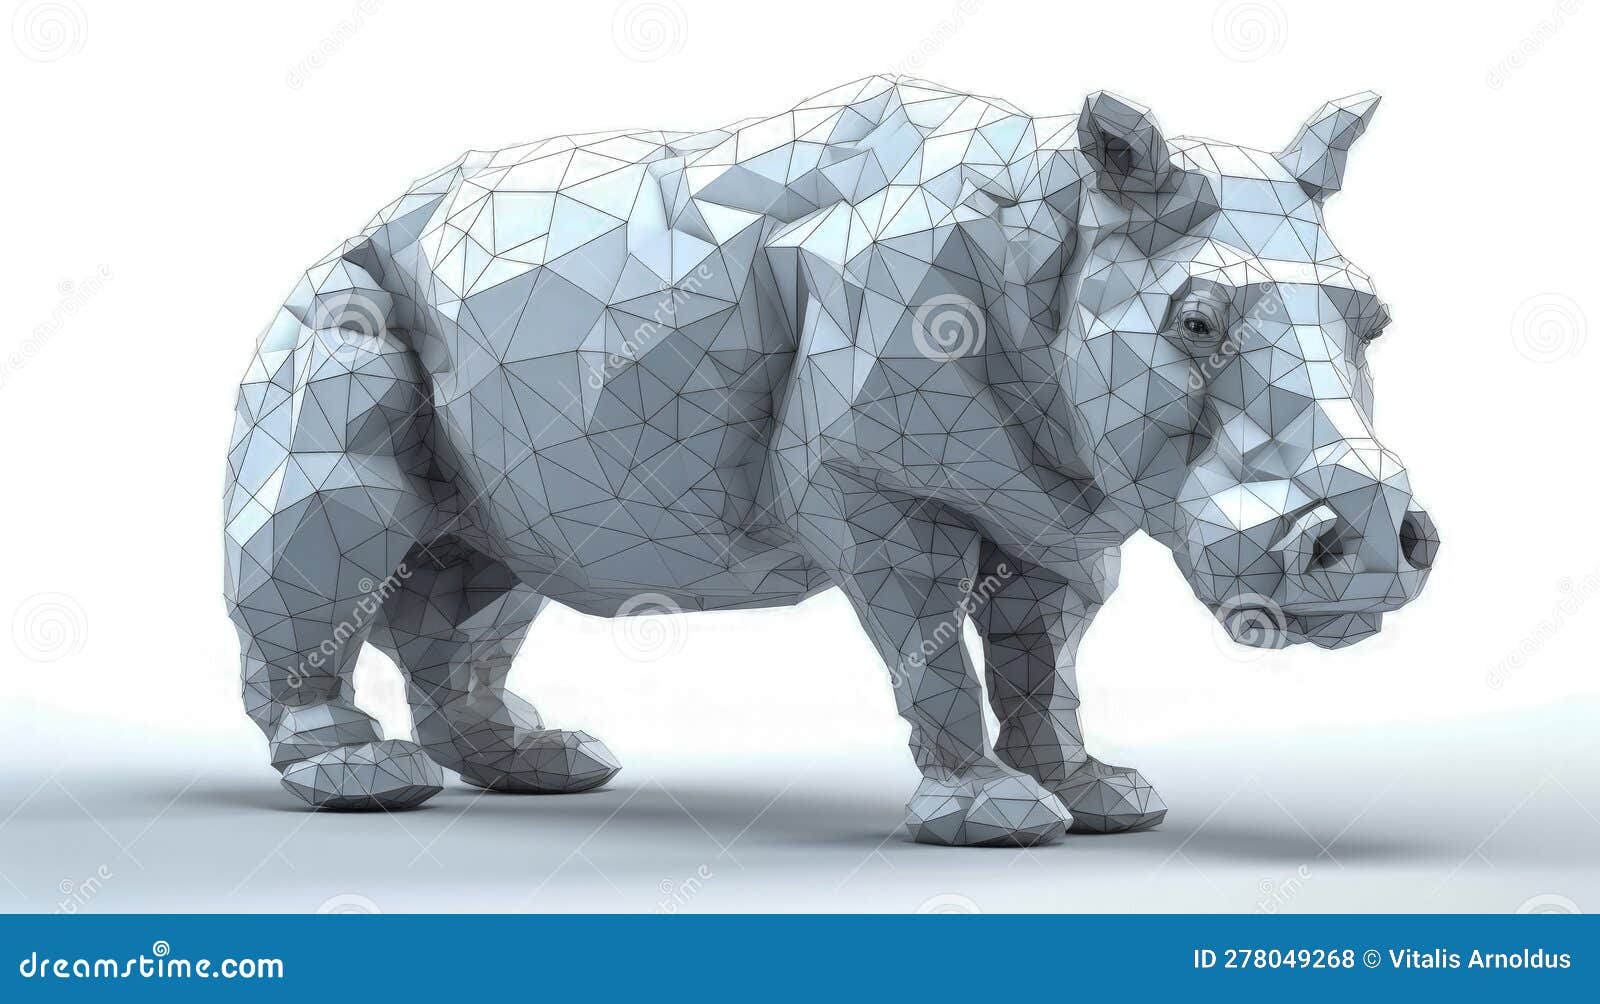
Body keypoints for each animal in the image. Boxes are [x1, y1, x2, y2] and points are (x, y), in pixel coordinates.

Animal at [224, 76, 1437, 846]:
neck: (1053, 237)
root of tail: (366, 213)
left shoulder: (1064, 492)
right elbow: (930, 637)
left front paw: (1099, 797)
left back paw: (540, 763)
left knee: (492, 567)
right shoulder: (874, 480)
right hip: (344, 298)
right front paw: (991, 818)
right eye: (1194, 324)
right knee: (337, 508)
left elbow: (1048, 643)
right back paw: (361, 781)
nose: (1374, 542)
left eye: (1375, 324)